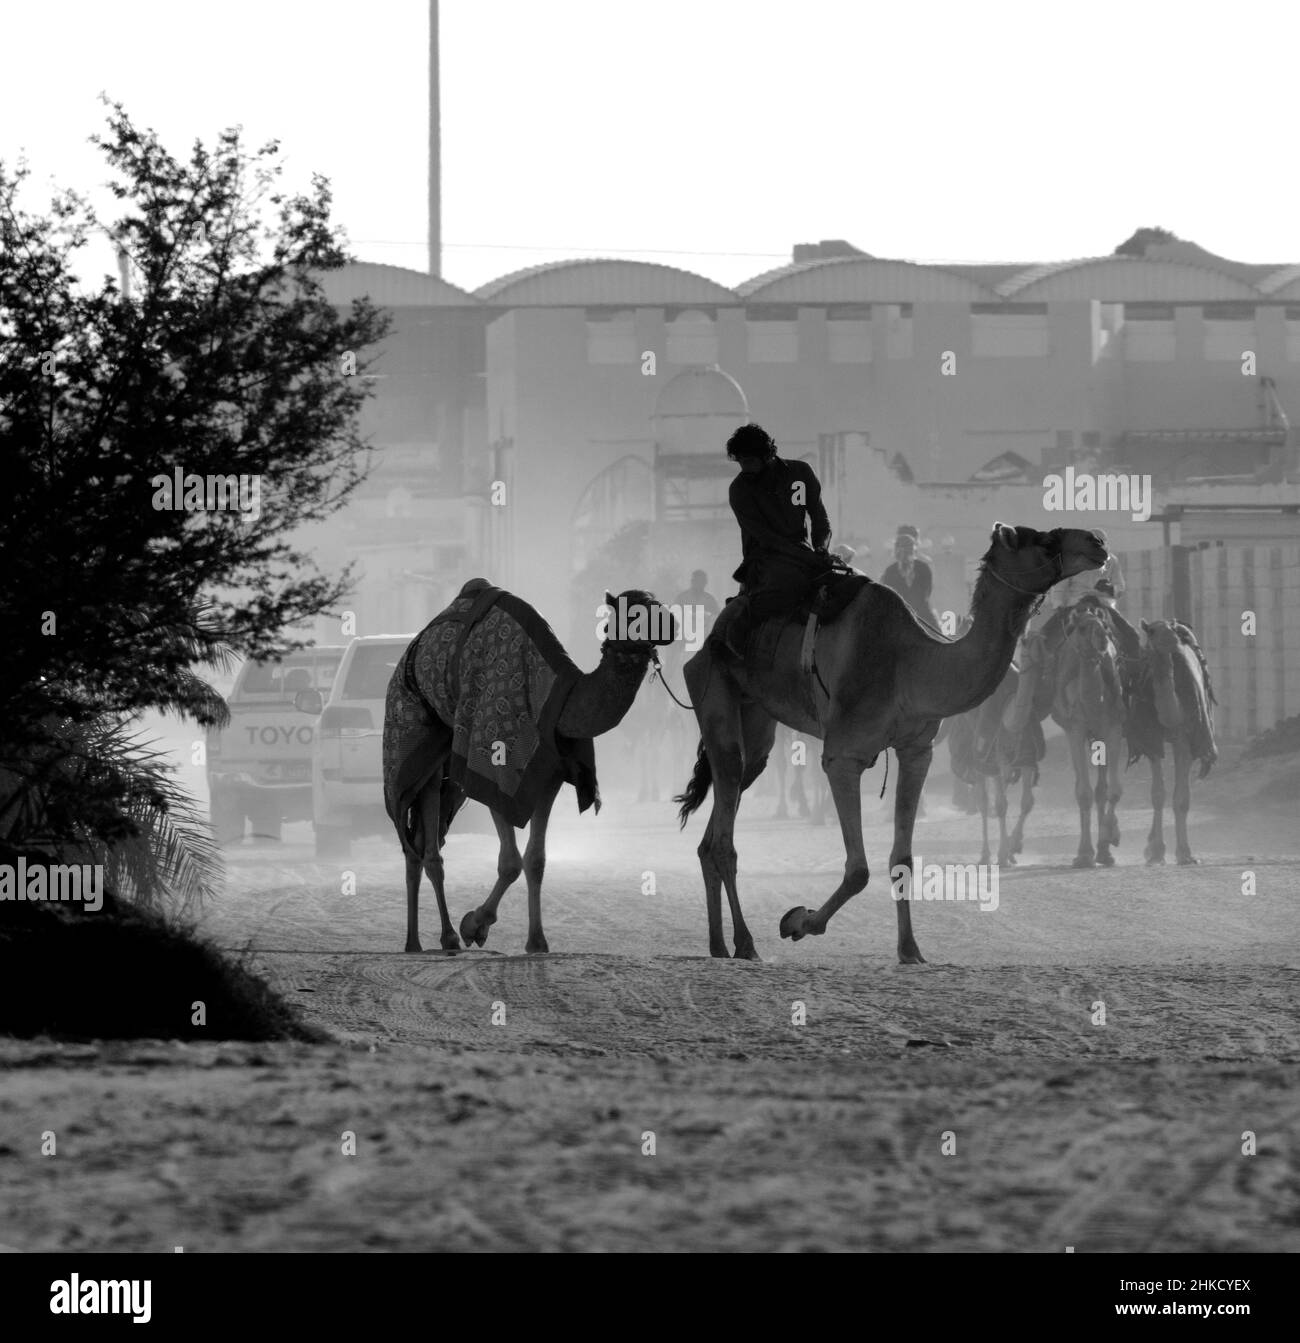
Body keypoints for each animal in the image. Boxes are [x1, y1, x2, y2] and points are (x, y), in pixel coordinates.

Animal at [388, 587, 675, 954]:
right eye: (635, 610)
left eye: (658, 603)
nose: (672, 622)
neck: (560, 696)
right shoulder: (494, 766)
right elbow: (510, 862)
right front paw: (474, 925)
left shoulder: (549, 774)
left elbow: (535, 860)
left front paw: (536, 941)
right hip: (417, 738)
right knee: (423, 846)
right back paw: (429, 938)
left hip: (446, 766)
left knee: (424, 841)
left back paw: (430, 937)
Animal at [674, 524, 1109, 962]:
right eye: (1044, 542)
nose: (1098, 542)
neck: (911, 665)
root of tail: (706, 642)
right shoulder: (843, 755)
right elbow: (858, 870)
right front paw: (798, 921)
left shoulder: (917, 750)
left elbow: (903, 859)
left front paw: (910, 950)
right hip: (713, 689)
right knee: (726, 829)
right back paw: (745, 944)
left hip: (758, 719)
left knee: (719, 820)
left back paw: (718, 944)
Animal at [1051, 605, 1127, 867]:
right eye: (1082, 627)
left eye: (1104, 626)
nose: (1103, 639)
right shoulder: (1076, 730)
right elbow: (1083, 793)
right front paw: (1084, 855)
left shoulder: (1113, 729)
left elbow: (1113, 790)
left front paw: (1109, 837)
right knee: (1083, 787)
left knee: (1101, 789)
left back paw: (1104, 851)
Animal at [1134, 618, 1217, 865]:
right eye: (1152, 632)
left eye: (1172, 631)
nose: (1172, 641)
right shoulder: (1152, 739)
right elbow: (1157, 794)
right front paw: (1157, 853)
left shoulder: (1185, 737)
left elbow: (1181, 798)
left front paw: (1186, 854)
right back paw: (1151, 846)